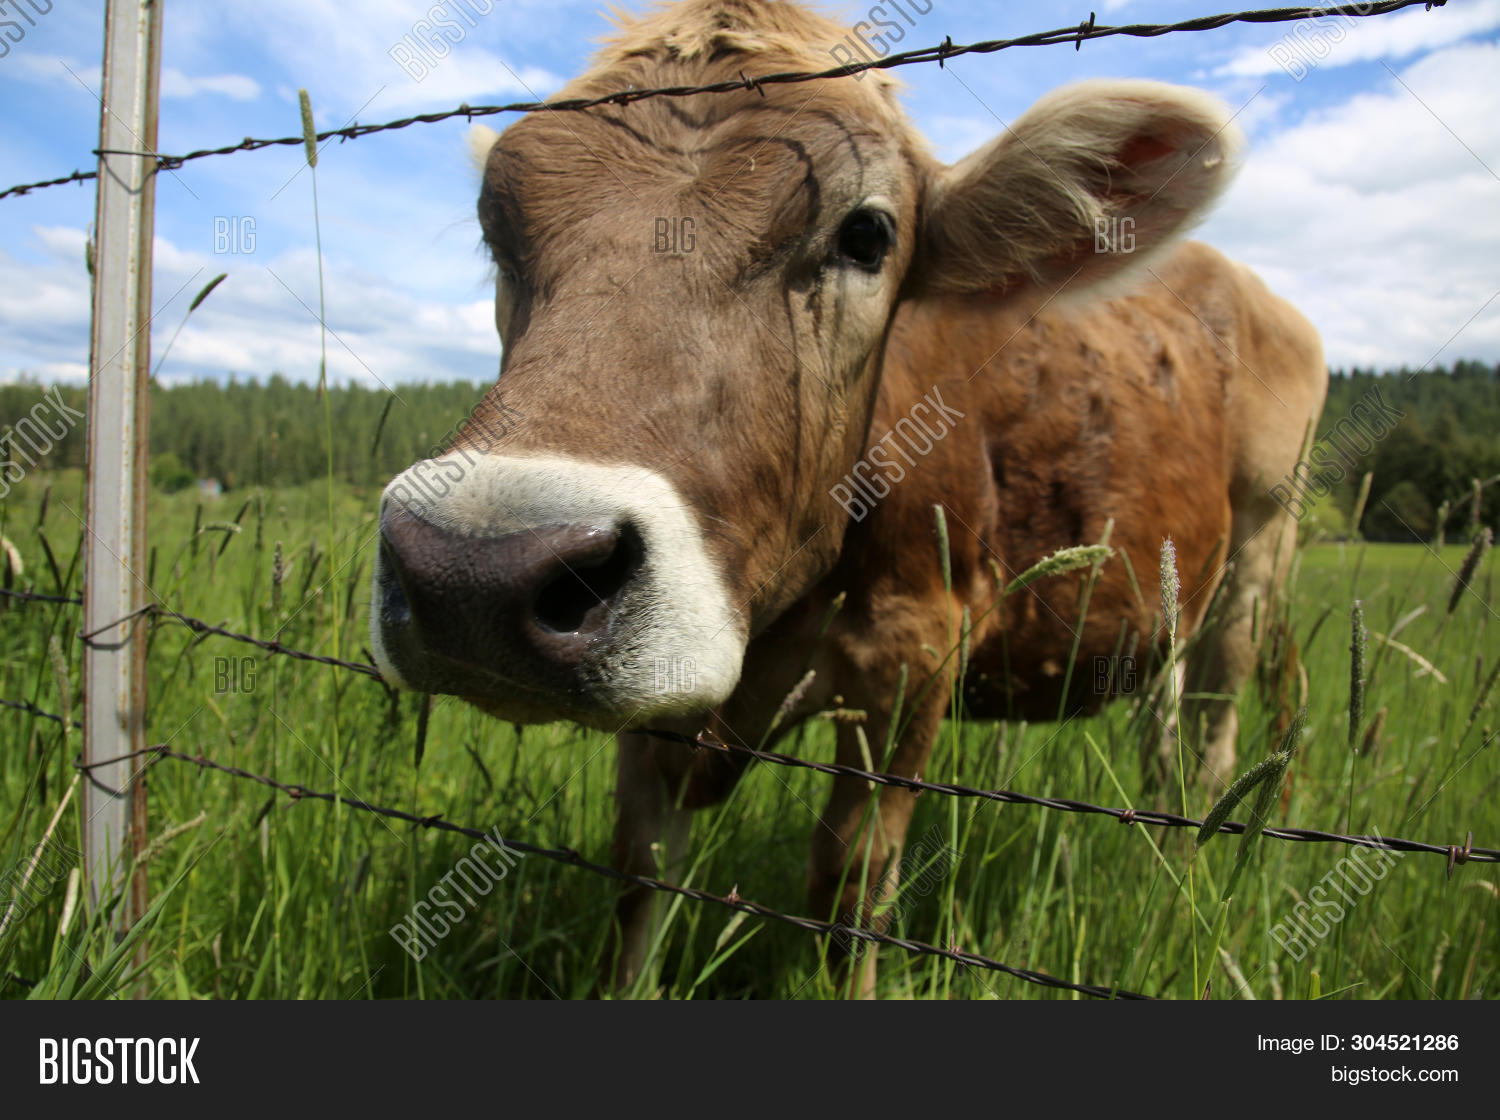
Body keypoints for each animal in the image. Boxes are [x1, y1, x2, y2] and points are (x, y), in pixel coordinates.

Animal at [369, 0, 1327, 996]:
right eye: (498, 237)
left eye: (867, 234)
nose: (475, 573)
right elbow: (639, 873)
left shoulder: (916, 647)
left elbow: (851, 883)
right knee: (1162, 719)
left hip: (1265, 541)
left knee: (1217, 724)